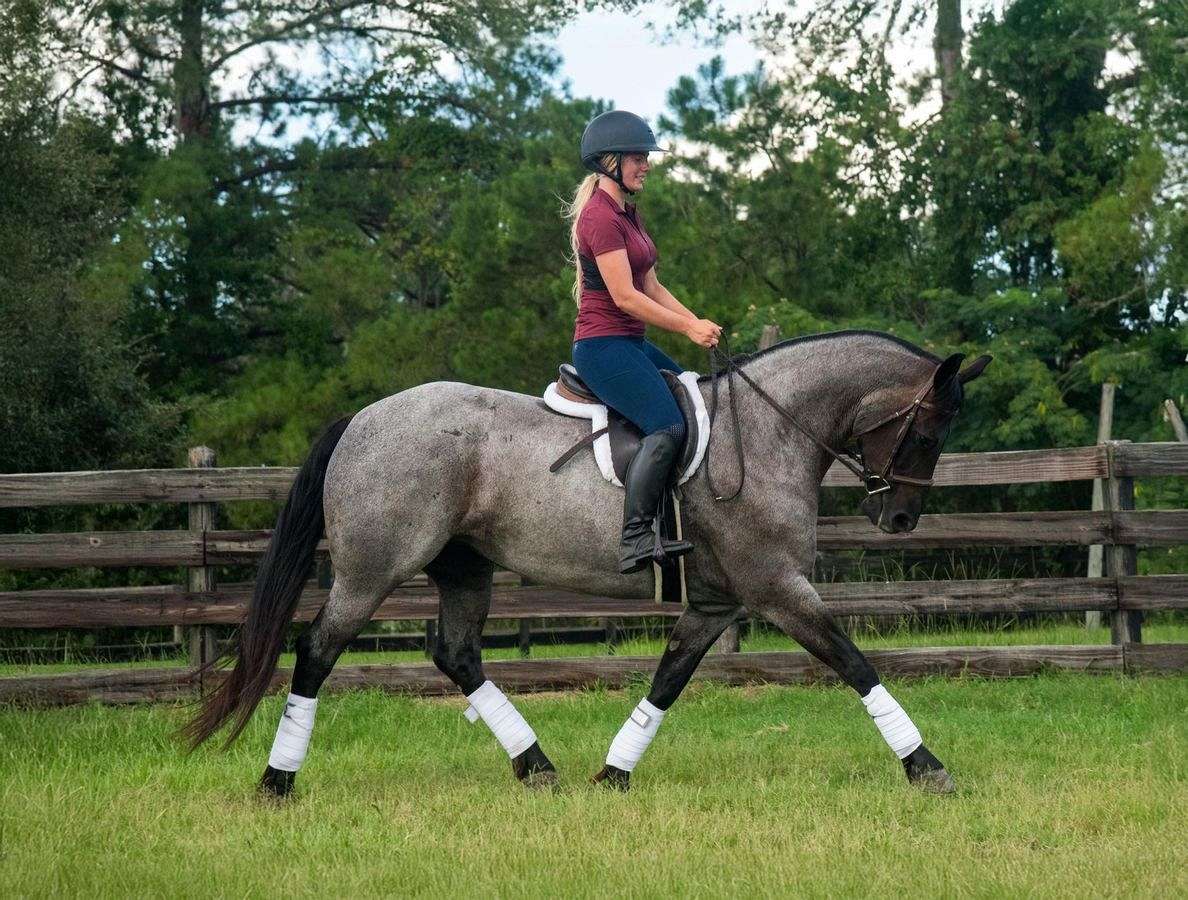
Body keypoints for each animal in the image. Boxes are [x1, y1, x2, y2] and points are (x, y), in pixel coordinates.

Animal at [181, 329, 991, 797]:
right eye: (929, 429)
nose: (899, 519)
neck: (766, 431)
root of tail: (363, 418)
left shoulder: (716, 603)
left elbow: (668, 679)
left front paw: (614, 773)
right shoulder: (778, 589)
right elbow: (853, 662)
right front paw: (927, 766)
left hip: (464, 568)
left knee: (456, 653)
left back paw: (538, 768)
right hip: (372, 570)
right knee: (318, 650)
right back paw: (278, 780)